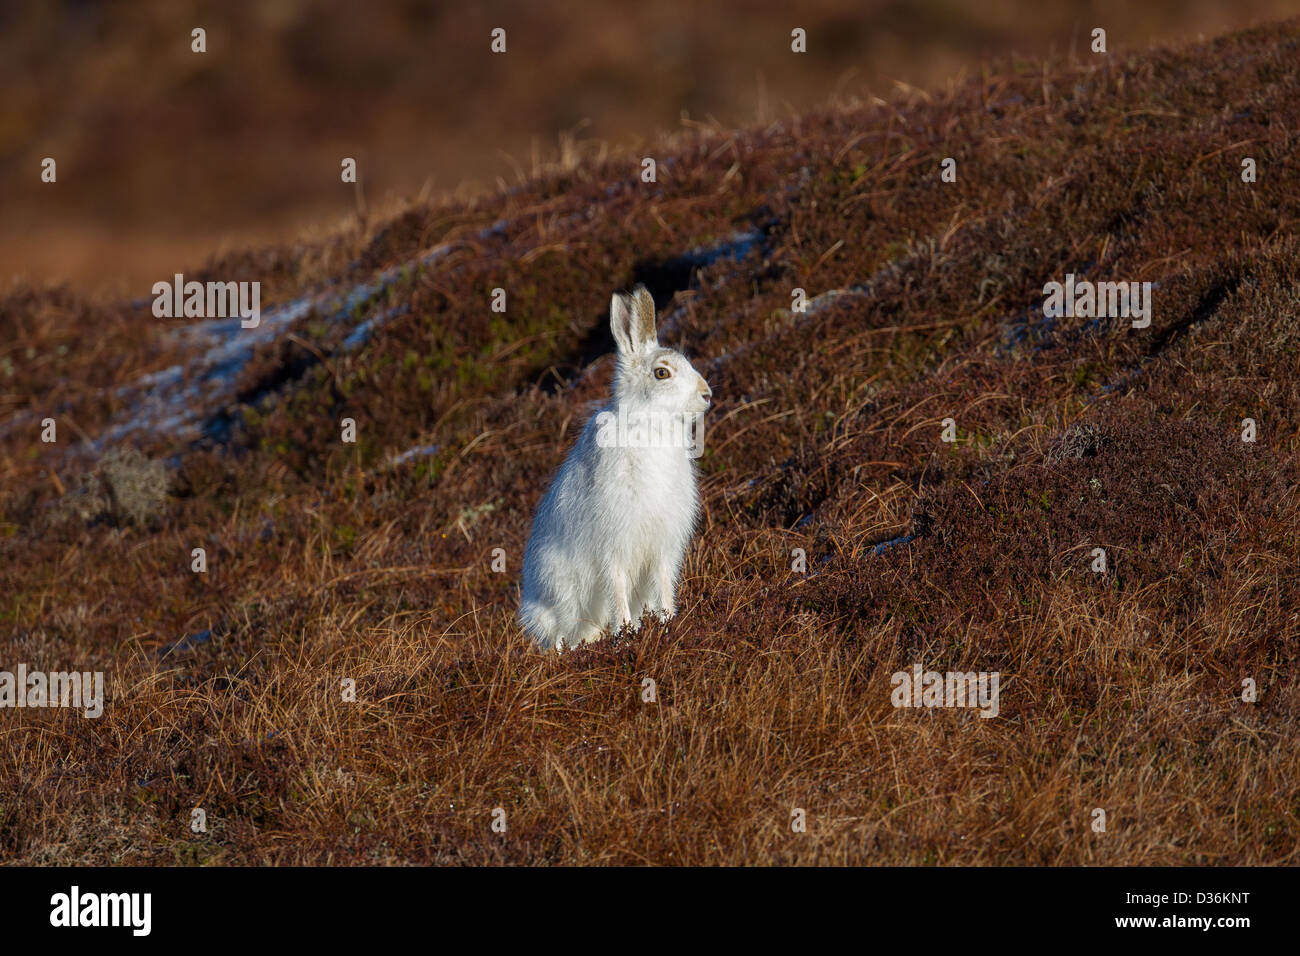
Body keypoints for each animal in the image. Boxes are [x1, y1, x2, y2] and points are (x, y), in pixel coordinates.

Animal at [518, 285, 712, 650]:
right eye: (662, 373)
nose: (706, 394)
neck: (648, 425)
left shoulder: (662, 547)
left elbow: (663, 585)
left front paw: (667, 623)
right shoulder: (613, 545)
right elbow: (617, 587)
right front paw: (627, 633)